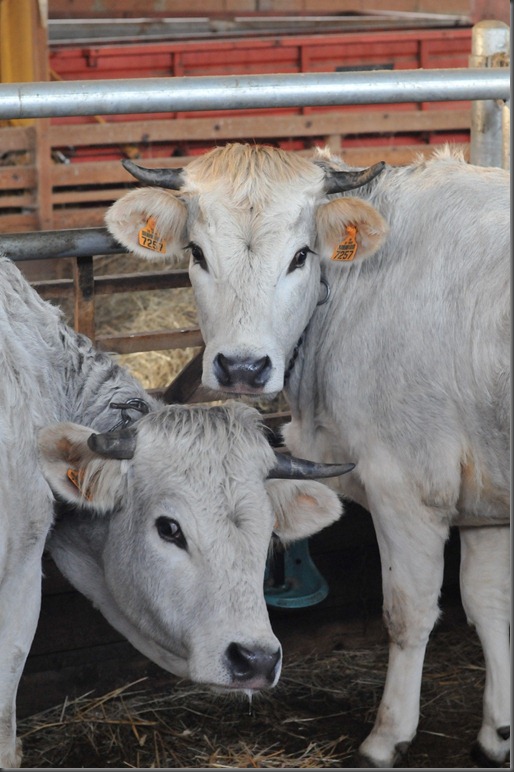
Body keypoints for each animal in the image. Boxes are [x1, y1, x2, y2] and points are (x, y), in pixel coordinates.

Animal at [106, 142, 510, 768]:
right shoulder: (482, 493)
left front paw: (386, 737)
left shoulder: (407, 488)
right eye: (196, 252)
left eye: (301, 256)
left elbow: (408, 613)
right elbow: (487, 603)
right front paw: (497, 732)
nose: (242, 367)